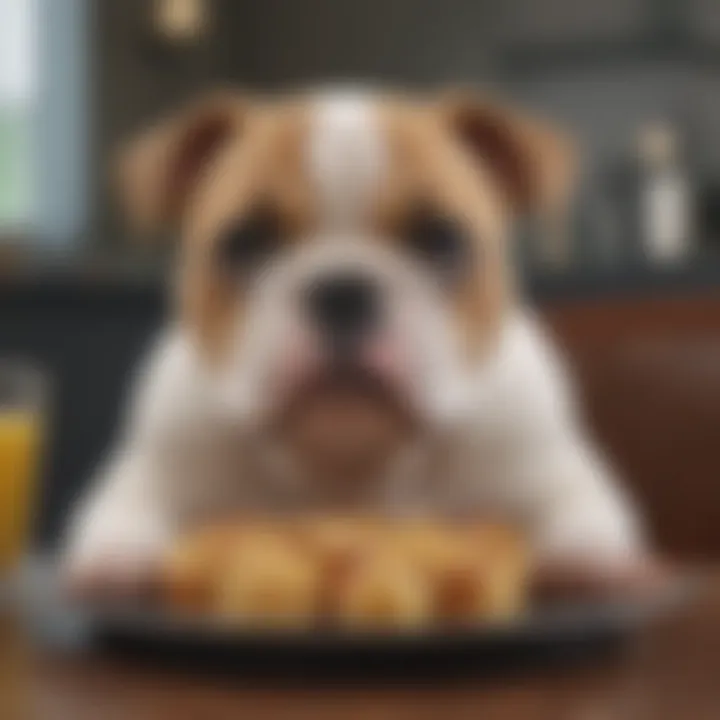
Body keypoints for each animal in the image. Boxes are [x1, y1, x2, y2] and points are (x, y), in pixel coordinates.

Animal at [63, 87, 652, 600]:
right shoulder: (164, 459)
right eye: (246, 240)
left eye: (440, 237)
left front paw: (583, 553)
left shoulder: (538, 457)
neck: (352, 467)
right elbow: (130, 500)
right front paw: (118, 553)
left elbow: (576, 502)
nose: (343, 290)